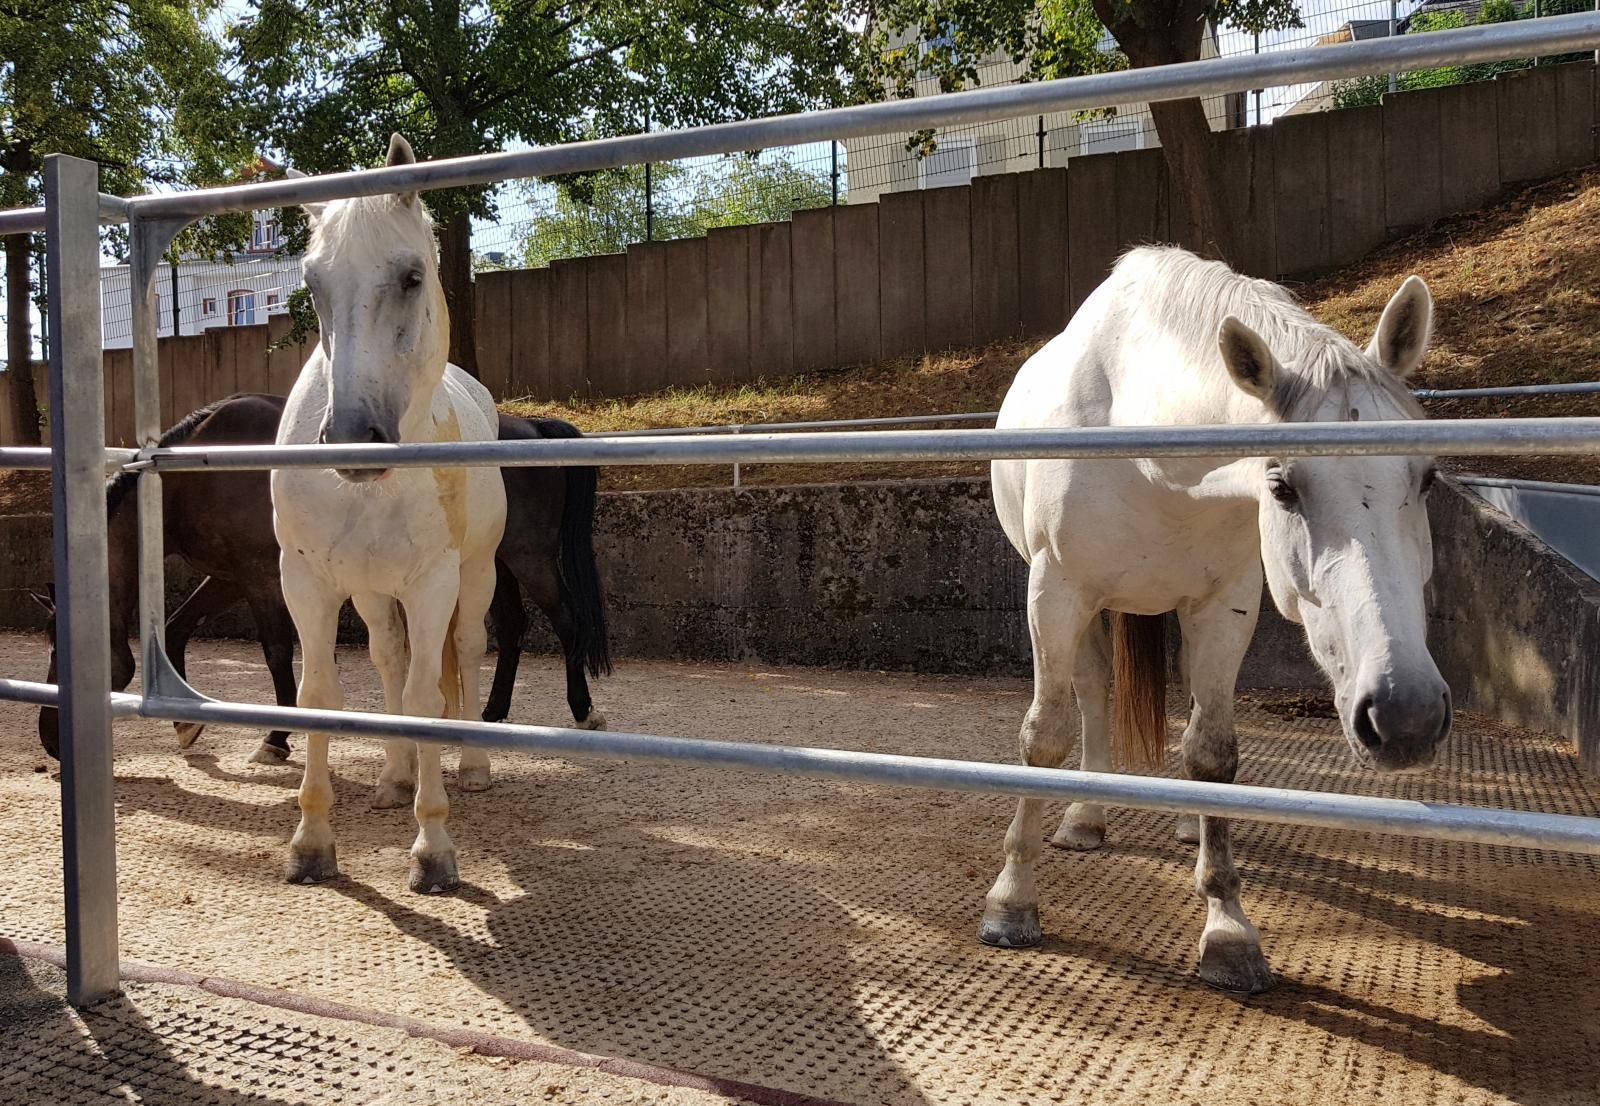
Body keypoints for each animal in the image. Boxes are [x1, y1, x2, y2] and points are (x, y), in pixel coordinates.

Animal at [35, 395, 611, 768]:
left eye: (60, 647)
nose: (49, 738)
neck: (199, 471)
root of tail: (529, 427)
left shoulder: (259, 578)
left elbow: (275, 653)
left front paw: (276, 737)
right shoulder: (230, 576)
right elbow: (177, 627)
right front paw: (186, 722)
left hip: (527, 558)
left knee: (565, 620)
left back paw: (583, 711)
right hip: (492, 564)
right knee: (512, 628)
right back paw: (490, 714)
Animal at [271, 133, 507, 893]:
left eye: (410, 276)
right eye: (314, 283)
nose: (352, 437)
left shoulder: (433, 584)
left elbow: (430, 696)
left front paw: (433, 850)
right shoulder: (307, 584)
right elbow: (320, 694)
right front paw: (312, 843)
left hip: (476, 574)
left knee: (464, 651)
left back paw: (472, 767)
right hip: (373, 593)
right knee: (389, 658)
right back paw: (396, 776)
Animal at [984, 246, 1450, 994]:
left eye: (1427, 477)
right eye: (1282, 484)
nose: (1405, 715)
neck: (1143, 442)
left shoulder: (1226, 605)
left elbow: (1211, 751)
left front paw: (1229, 933)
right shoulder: (1055, 593)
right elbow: (1044, 738)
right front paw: (1012, 900)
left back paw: (1183, 827)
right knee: (1091, 696)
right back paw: (1084, 816)